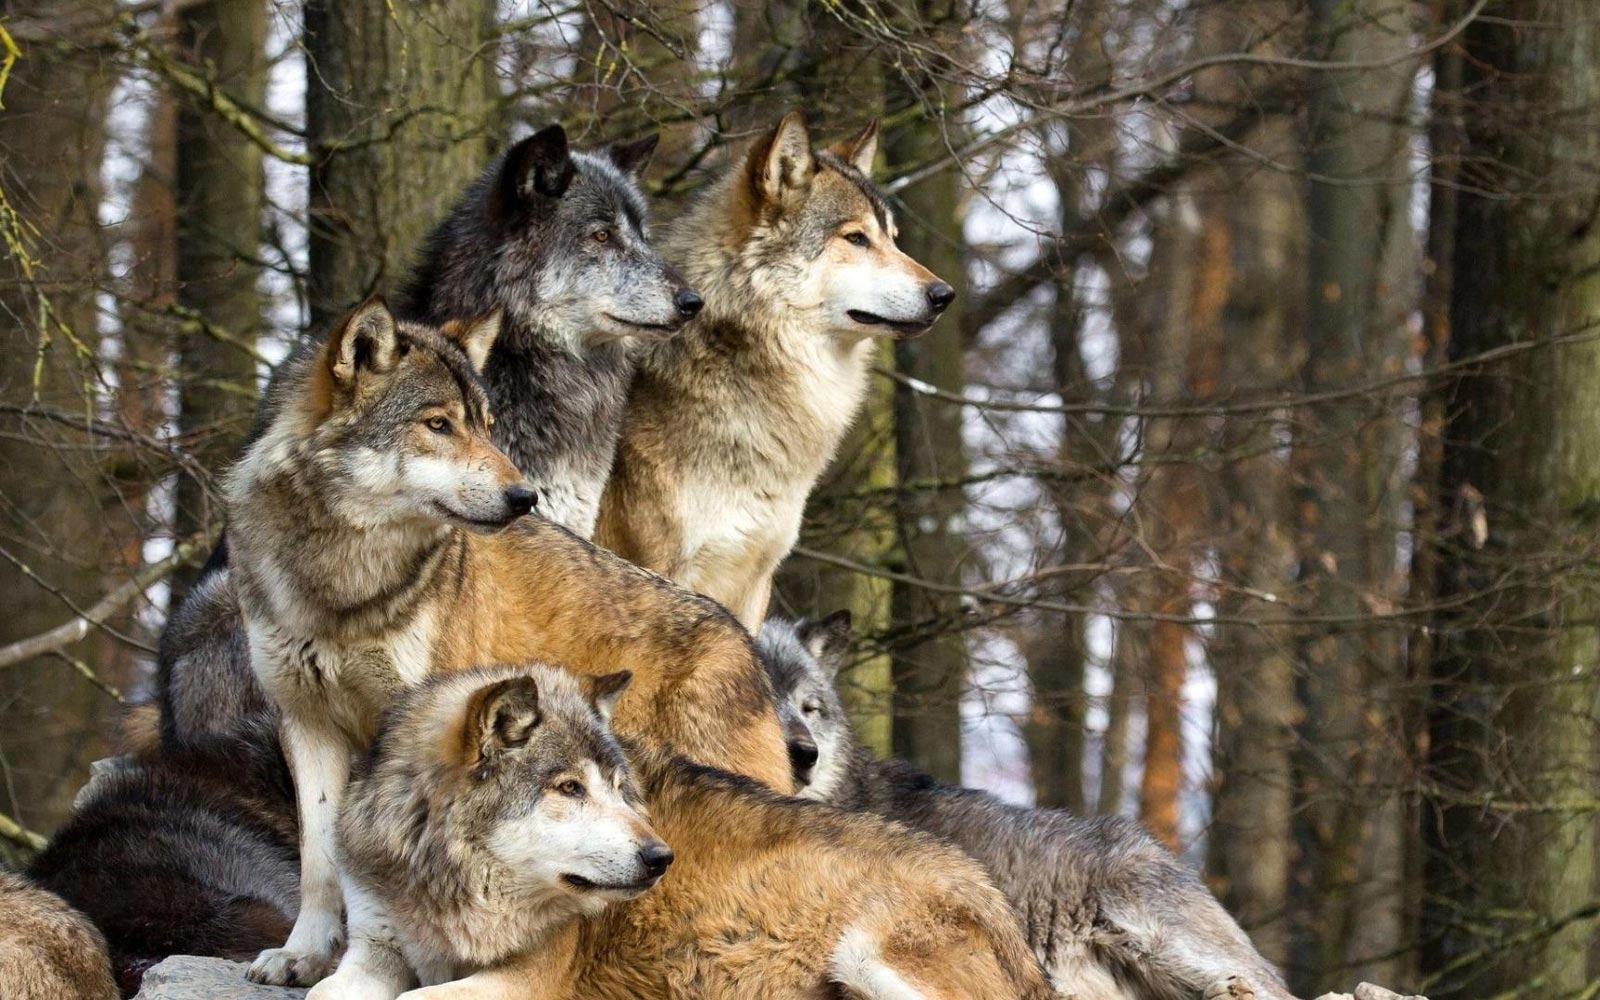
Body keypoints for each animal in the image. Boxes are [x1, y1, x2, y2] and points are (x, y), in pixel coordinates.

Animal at [225, 300, 790, 987]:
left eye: (488, 427)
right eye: (438, 425)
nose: (525, 497)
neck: (344, 585)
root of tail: (746, 641)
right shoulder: (305, 721)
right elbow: (319, 859)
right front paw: (302, 955)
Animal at [314, 663, 1053, 1000]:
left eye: (620, 789)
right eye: (569, 789)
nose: (659, 856)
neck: (449, 886)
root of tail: (998, 904)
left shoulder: (526, 981)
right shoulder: (374, 948)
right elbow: (329, 991)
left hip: (866, 953)